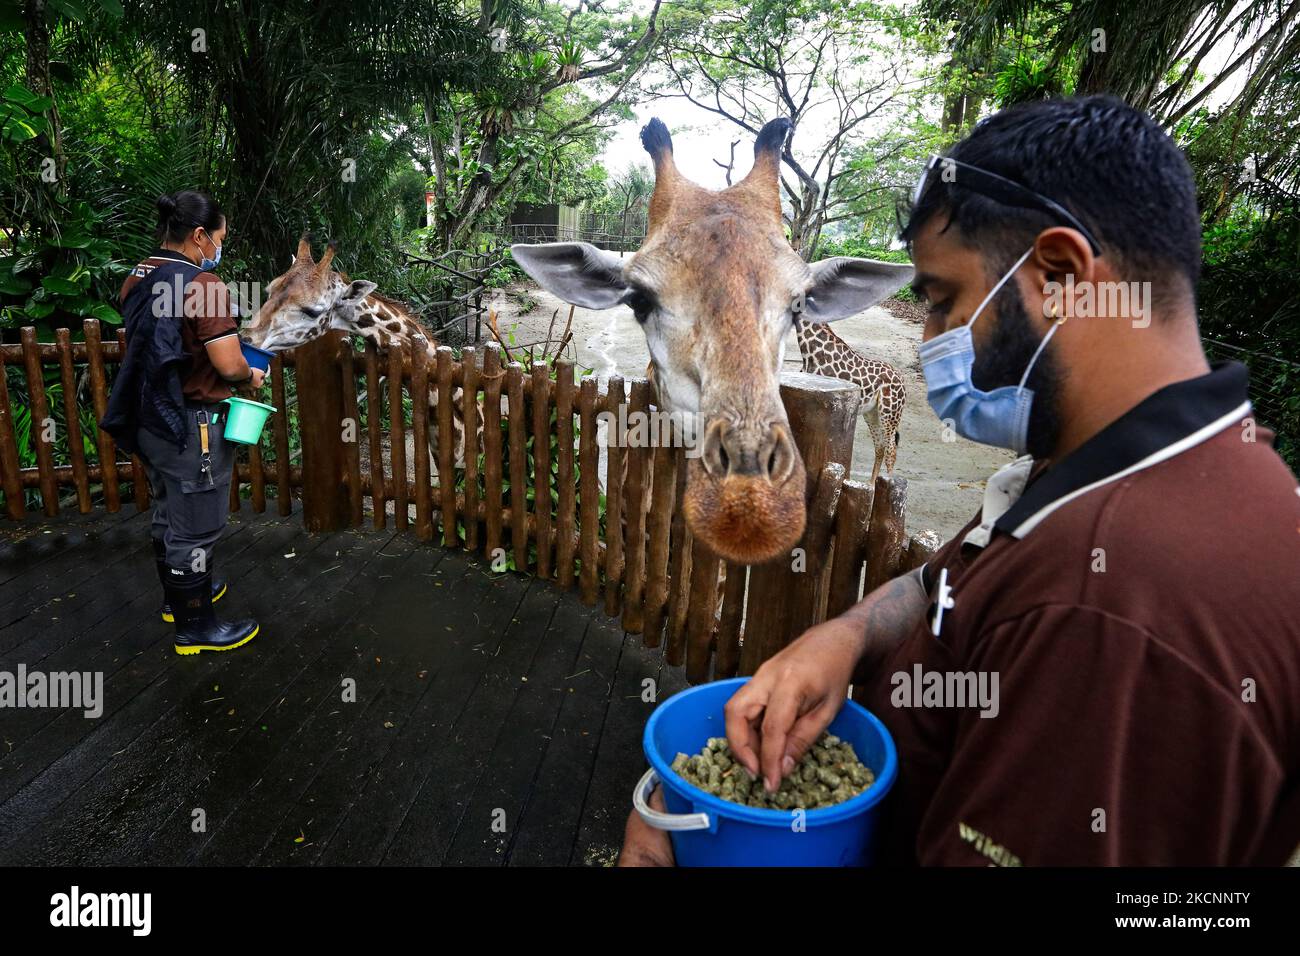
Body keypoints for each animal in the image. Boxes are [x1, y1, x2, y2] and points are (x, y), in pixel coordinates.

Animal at [794, 321, 906, 484]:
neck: (809, 352)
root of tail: (902, 381)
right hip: (872, 413)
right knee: (880, 447)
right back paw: (871, 486)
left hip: (889, 413)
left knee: (891, 450)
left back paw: (889, 483)